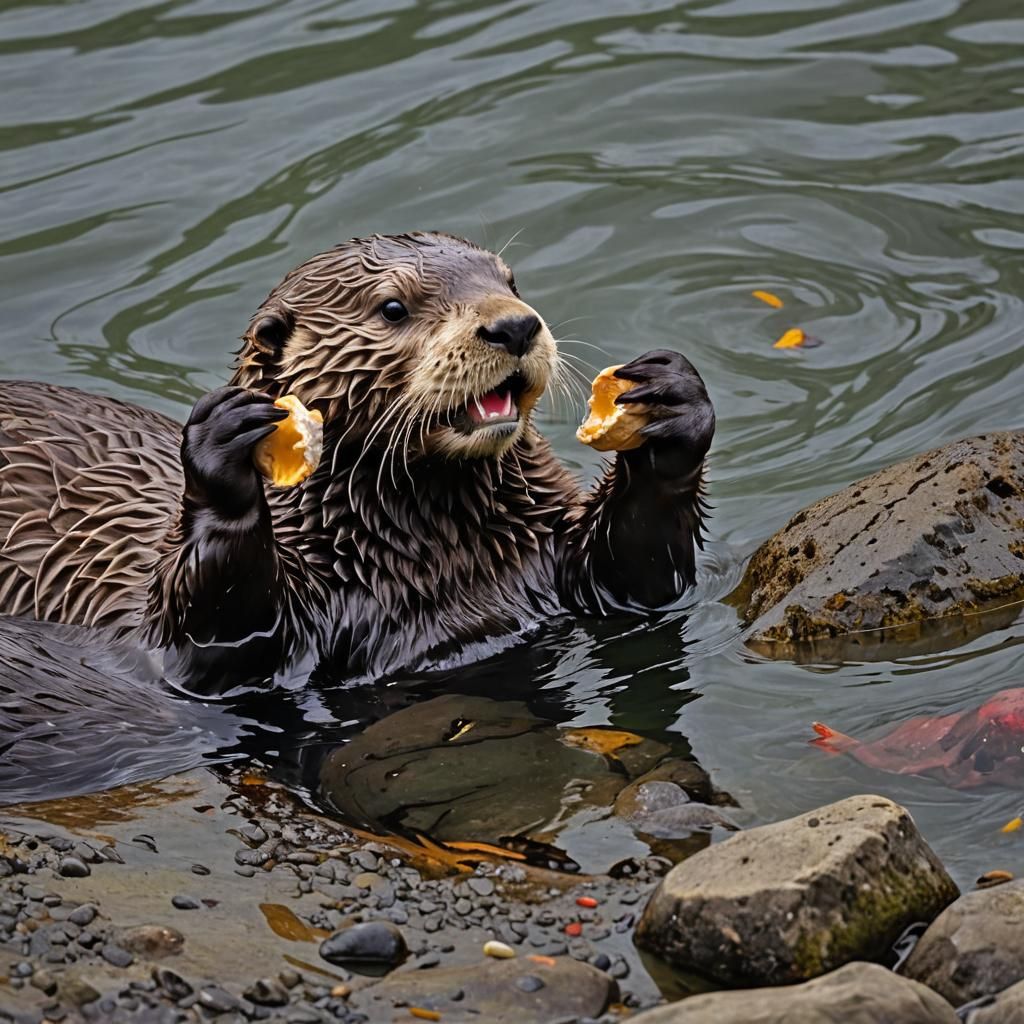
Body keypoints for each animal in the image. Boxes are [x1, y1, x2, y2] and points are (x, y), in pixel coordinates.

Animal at [0, 232, 714, 694]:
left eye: (510, 283)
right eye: (394, 308)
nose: (514, 325)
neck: (439, 559)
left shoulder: (554, 550)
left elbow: (638, 574)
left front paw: (670, 399)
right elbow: (210, 642)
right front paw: (224, 451)